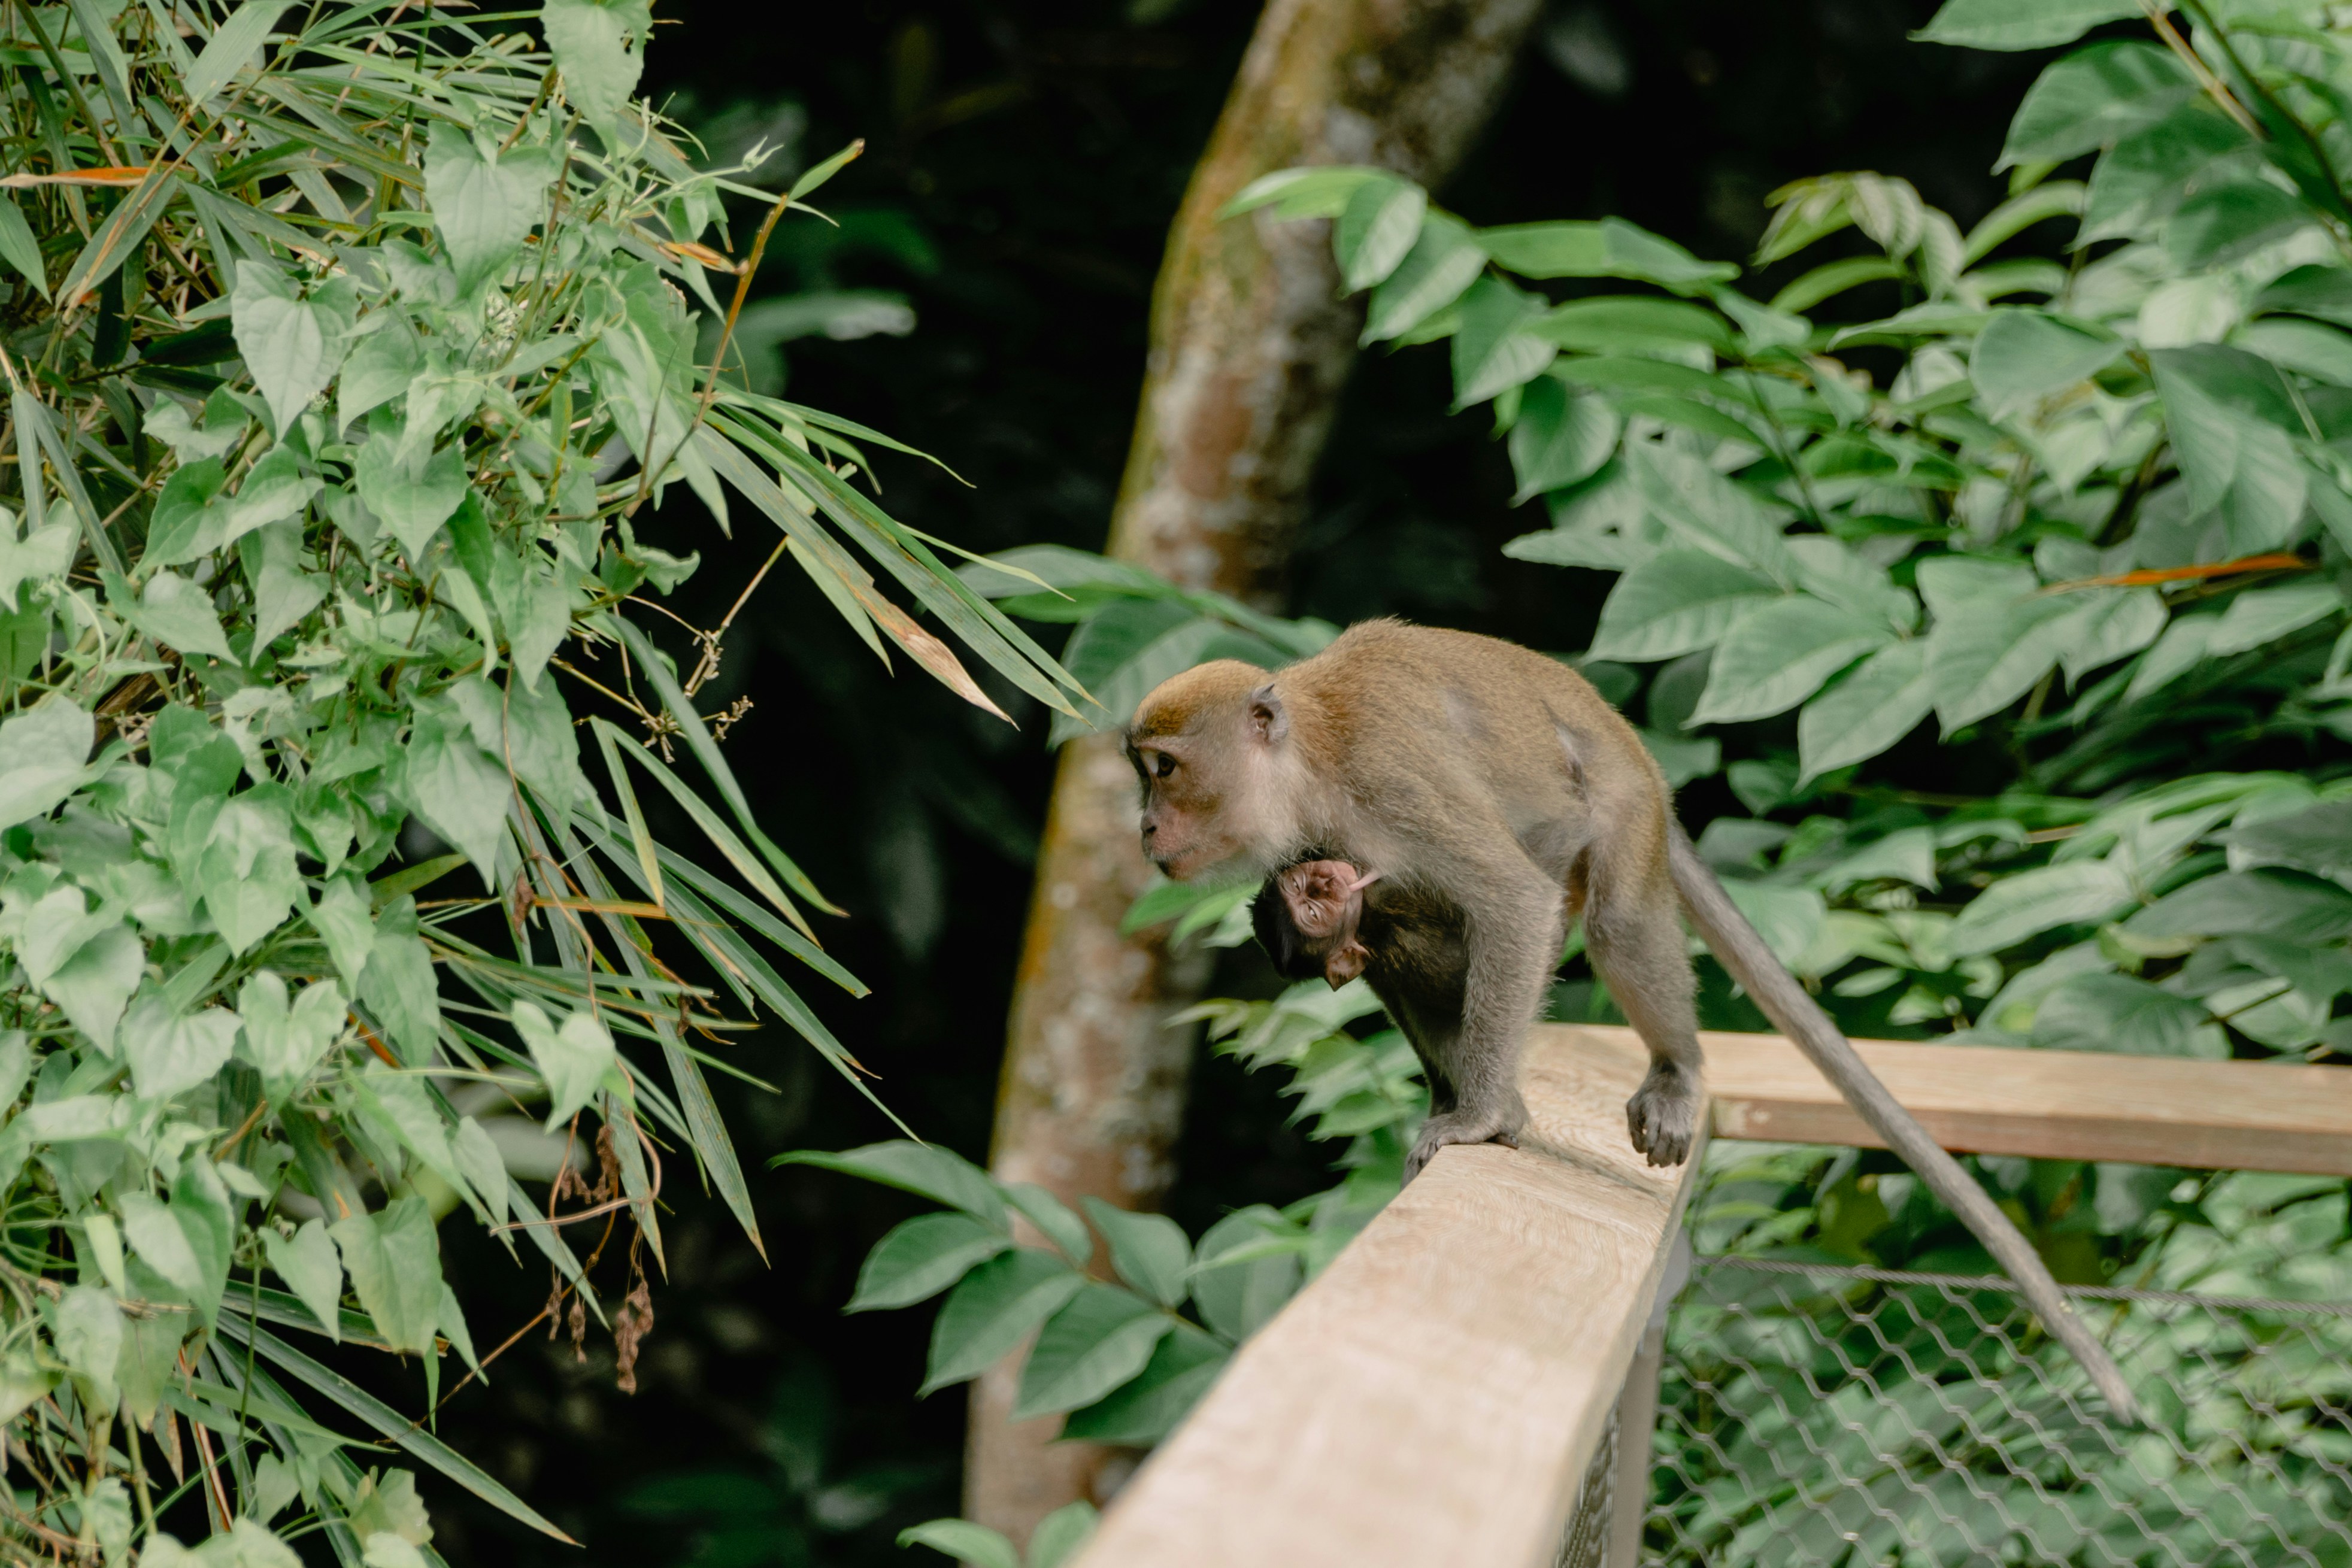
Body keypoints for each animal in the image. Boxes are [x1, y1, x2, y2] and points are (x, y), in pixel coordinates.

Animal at [1126, 619, 2142, 1421]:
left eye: (1165, 770)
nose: (1142, 827)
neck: (1306, 766)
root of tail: (1622, 732)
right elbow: (1406, 948)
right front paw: (1478, 1099)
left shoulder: (1390, 788)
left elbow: (1511, 903)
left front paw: (1480, 1116)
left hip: (1622, 802)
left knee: (1611, 919)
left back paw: (1678, 1070)